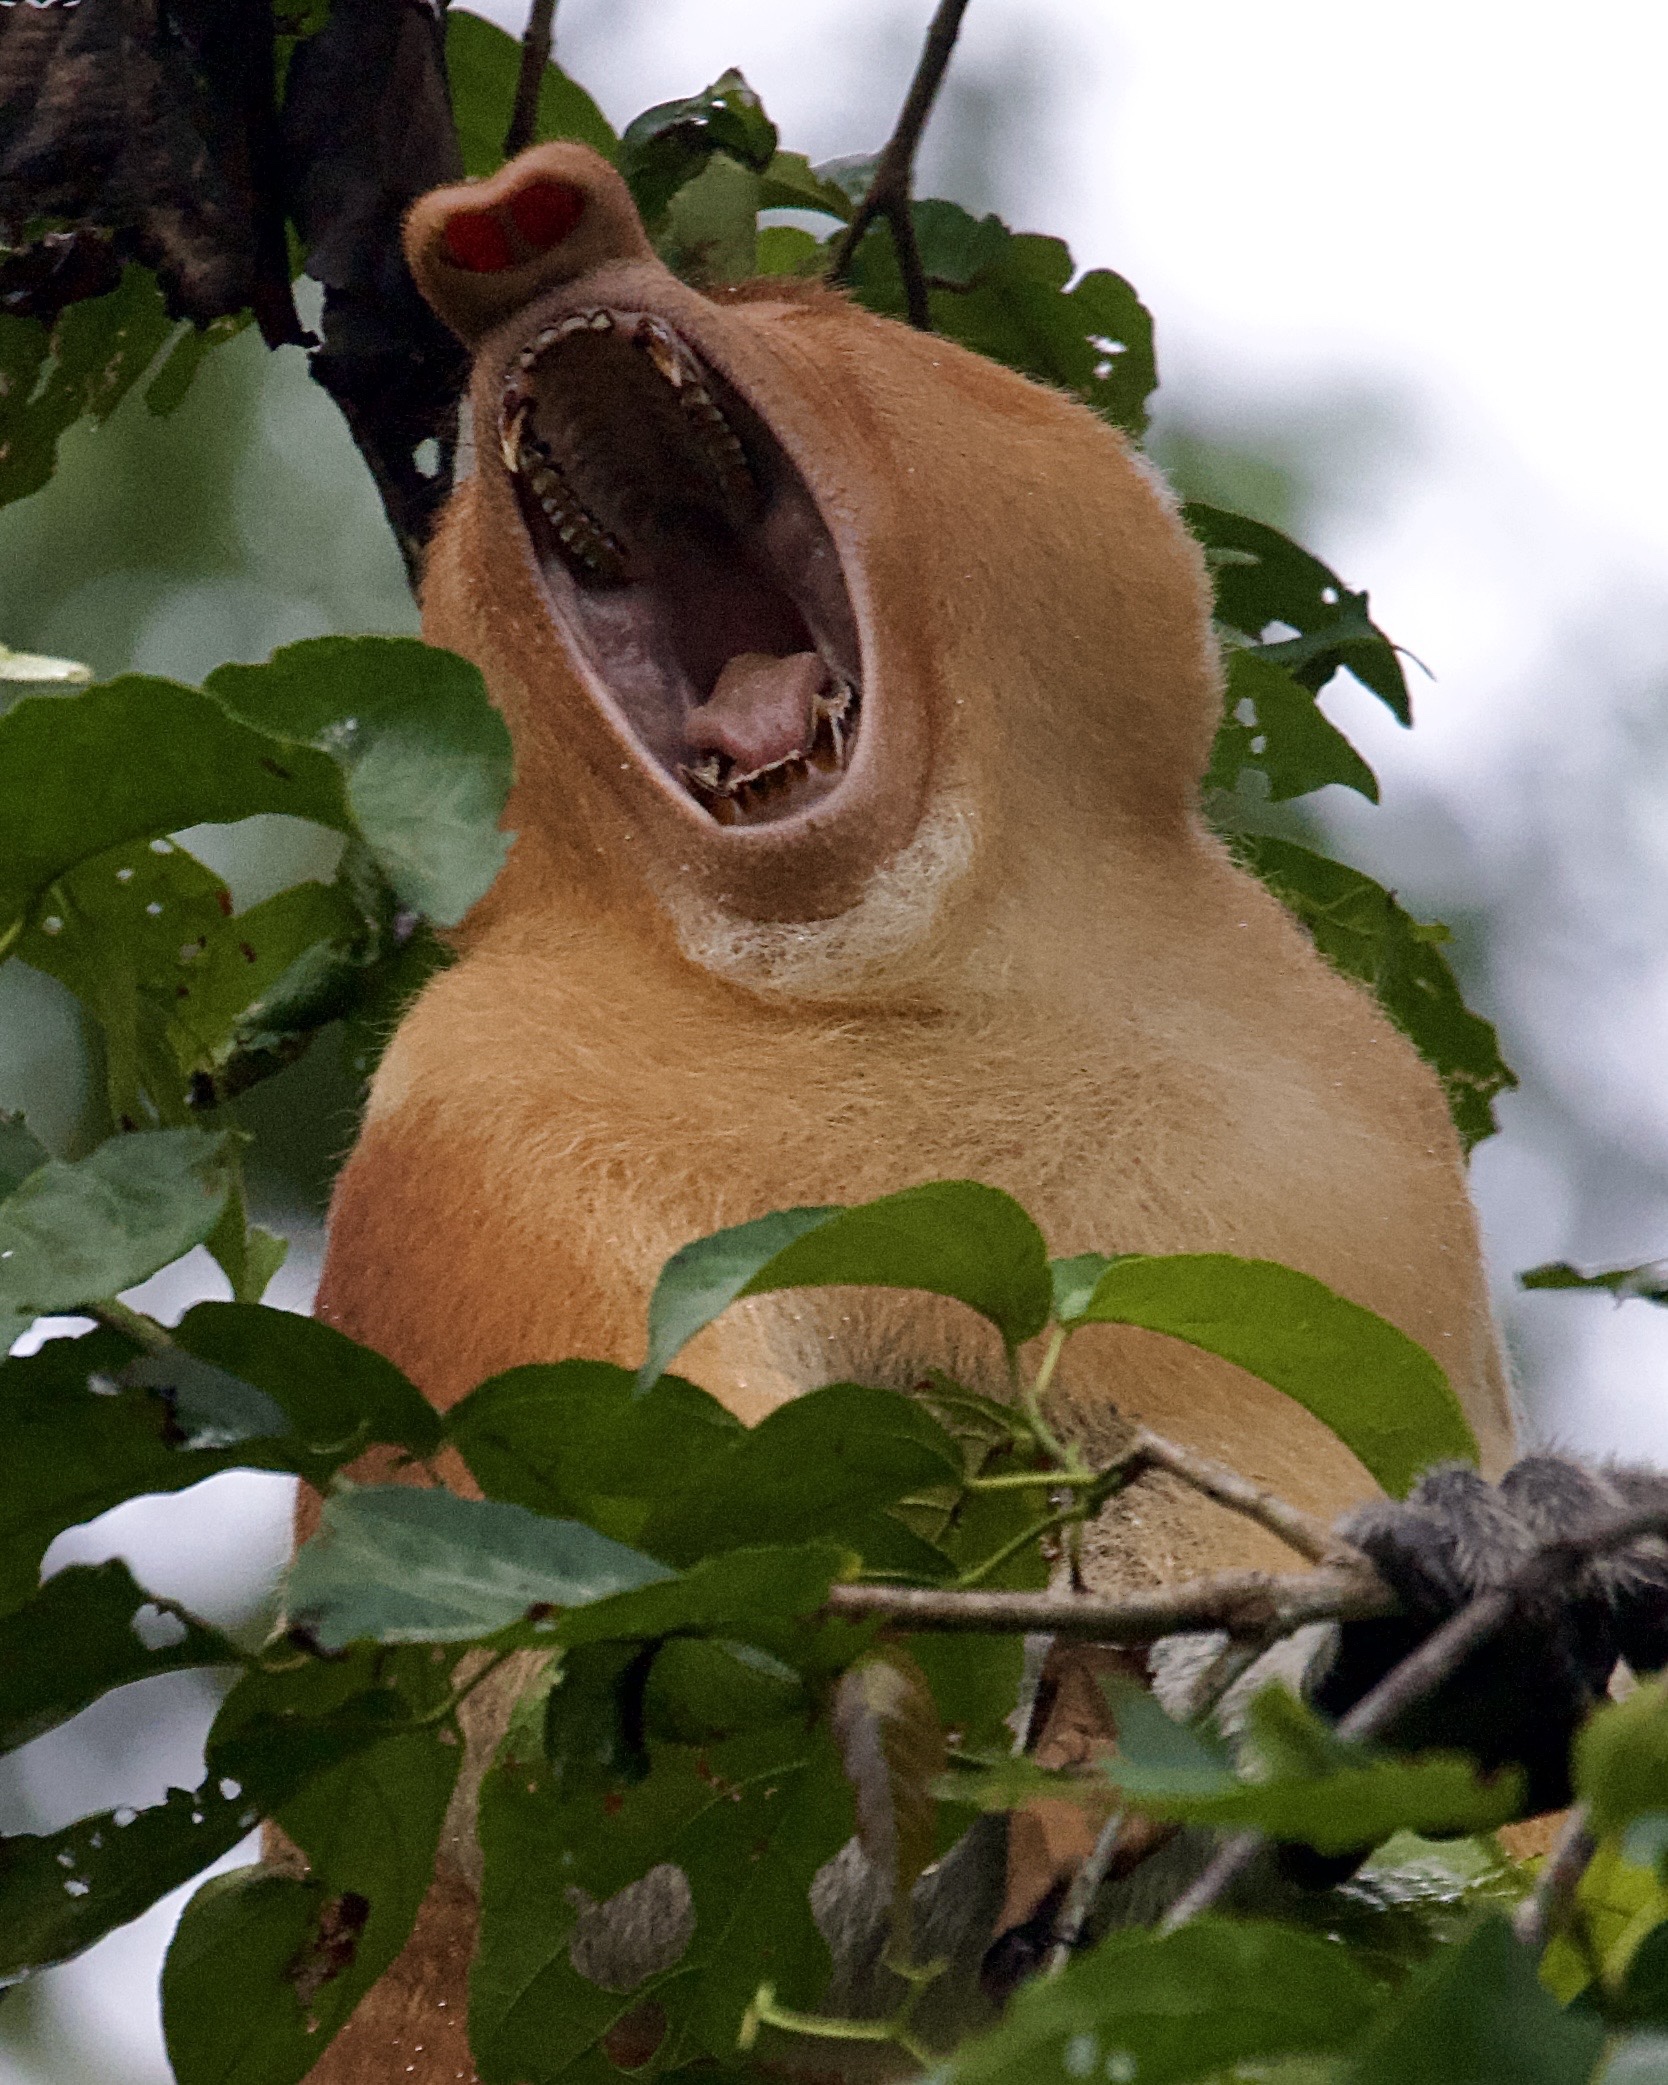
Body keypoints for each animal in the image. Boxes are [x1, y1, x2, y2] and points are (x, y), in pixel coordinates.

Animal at [296, 140, 1521, 2080]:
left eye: (782, 304)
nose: (507, 222)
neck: (911, 967)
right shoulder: (477, 1128)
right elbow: (595, 1787)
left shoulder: (1357, 1104)